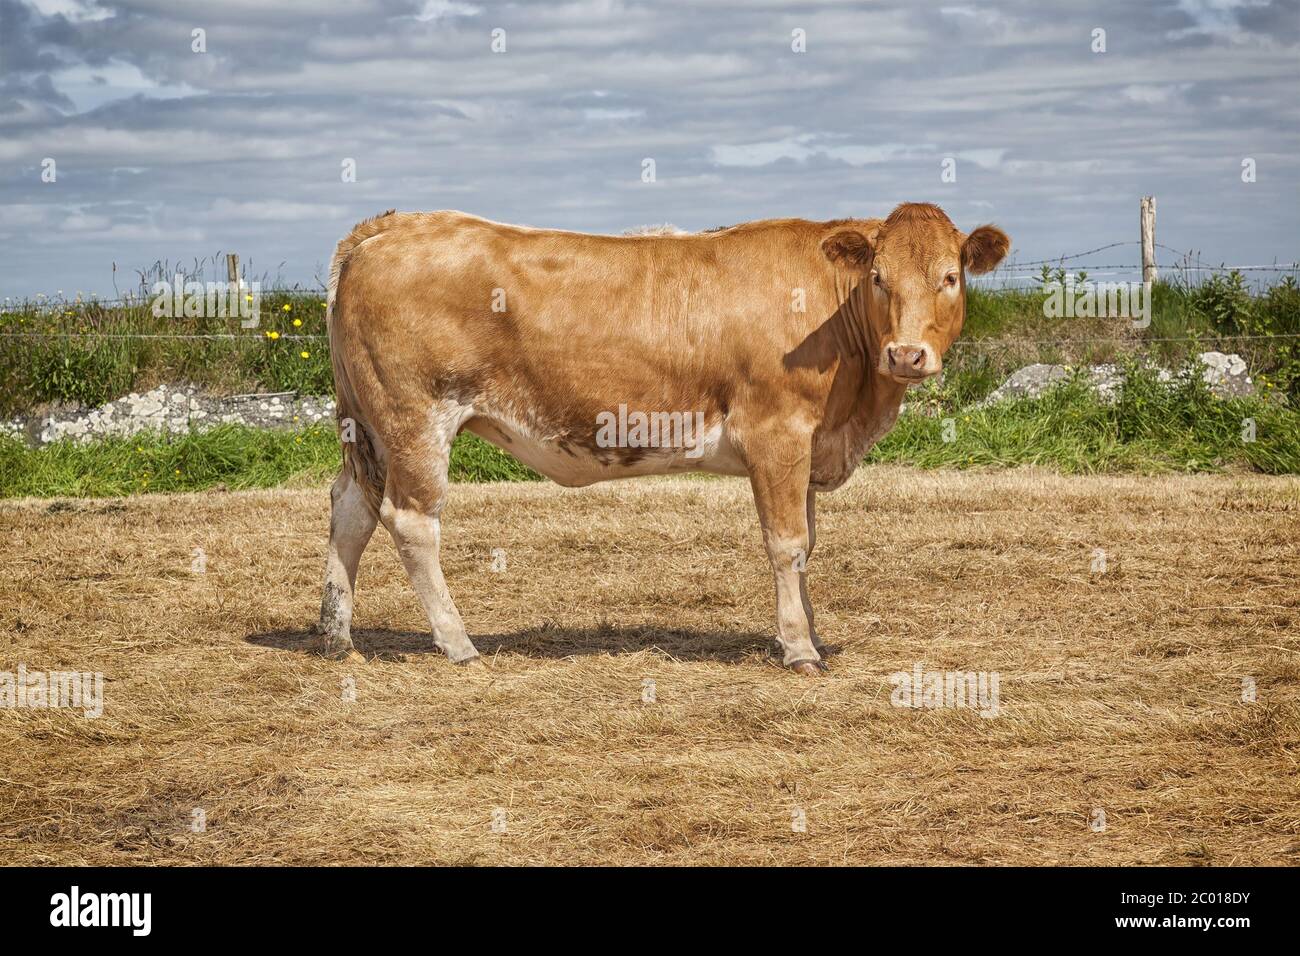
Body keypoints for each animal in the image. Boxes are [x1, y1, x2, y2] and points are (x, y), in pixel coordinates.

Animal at [316, 203, 1010, 675]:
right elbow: (787, 544)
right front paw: (798, 647)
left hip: (367, 426)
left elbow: (808, 545)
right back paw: (458, 643)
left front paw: (806, 631)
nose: (906, 354)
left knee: (349, 509)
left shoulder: (811, 445)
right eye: (879, 278)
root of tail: (392, 225)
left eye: (950, 277)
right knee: (411, 522)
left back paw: (336, 636)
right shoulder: (778, 433)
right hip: (415, 419)